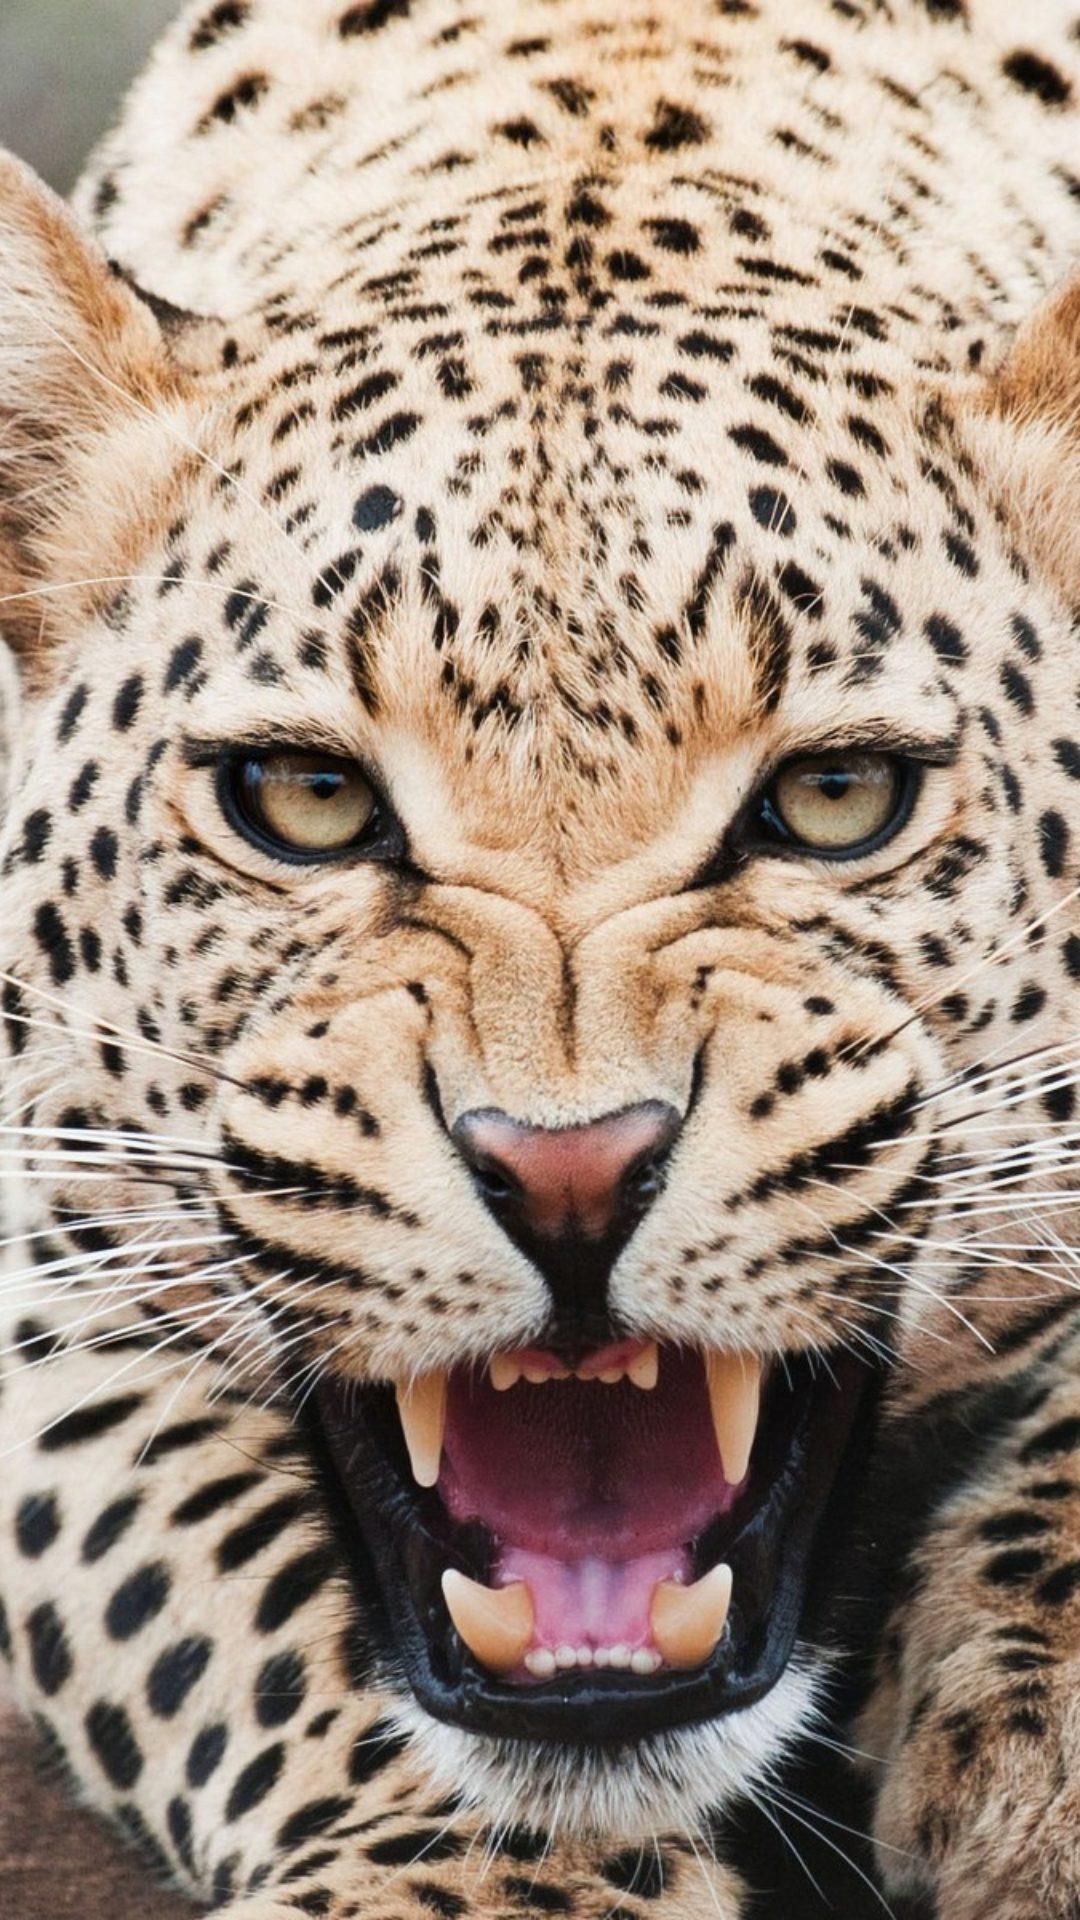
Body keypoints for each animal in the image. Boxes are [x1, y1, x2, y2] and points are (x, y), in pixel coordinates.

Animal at [1, 1, 1079, 1915]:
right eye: (302, 801)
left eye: (839, 798)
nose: (568, 1177)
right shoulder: (47, 1277)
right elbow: (224, 1575)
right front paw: (471, 1880)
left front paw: (1040, 1750)